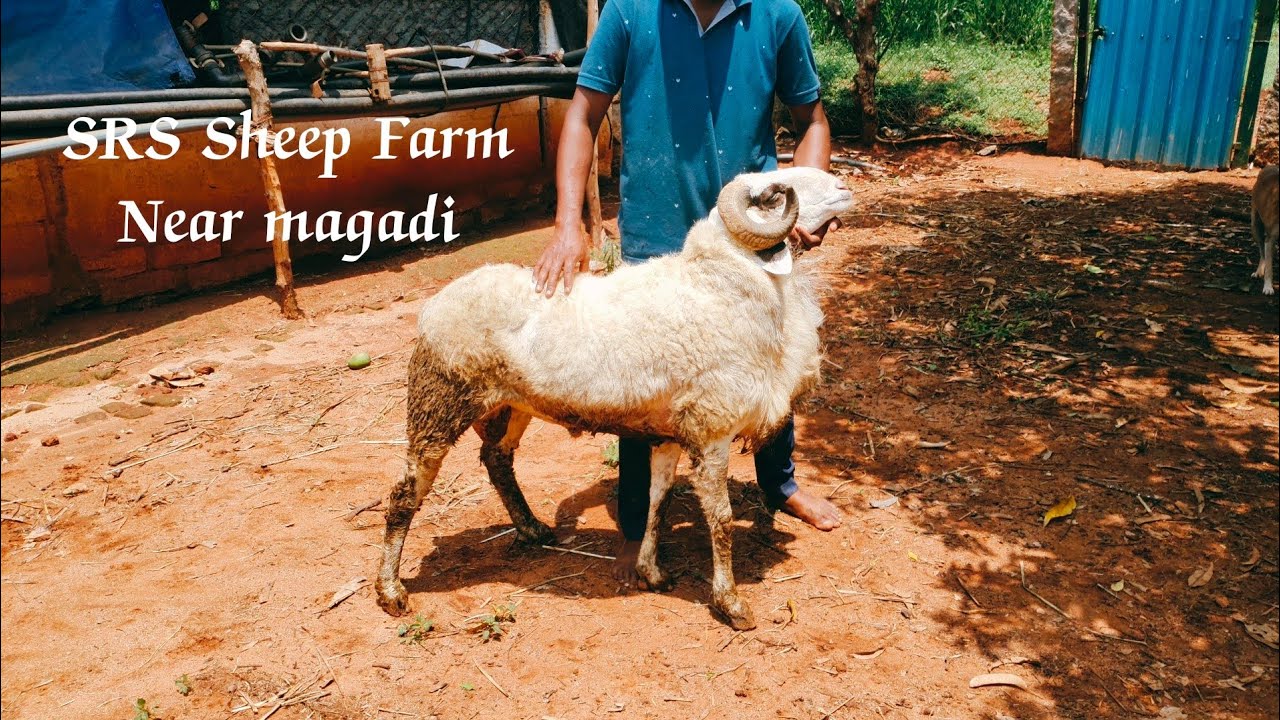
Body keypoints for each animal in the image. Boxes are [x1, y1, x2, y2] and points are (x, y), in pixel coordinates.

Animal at [376, 167, 854, 630]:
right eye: (773, 195)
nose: (843, 186)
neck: (718, 286)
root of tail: (433, 307)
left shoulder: (670, 432)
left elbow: (659, 500)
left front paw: (652, 572)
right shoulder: (711, 428)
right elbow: (720, 519)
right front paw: (731, 605)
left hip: (511, 404)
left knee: (497, 460)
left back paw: (532, 529)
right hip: (438, 401)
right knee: (404, 494)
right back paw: (391, 592)